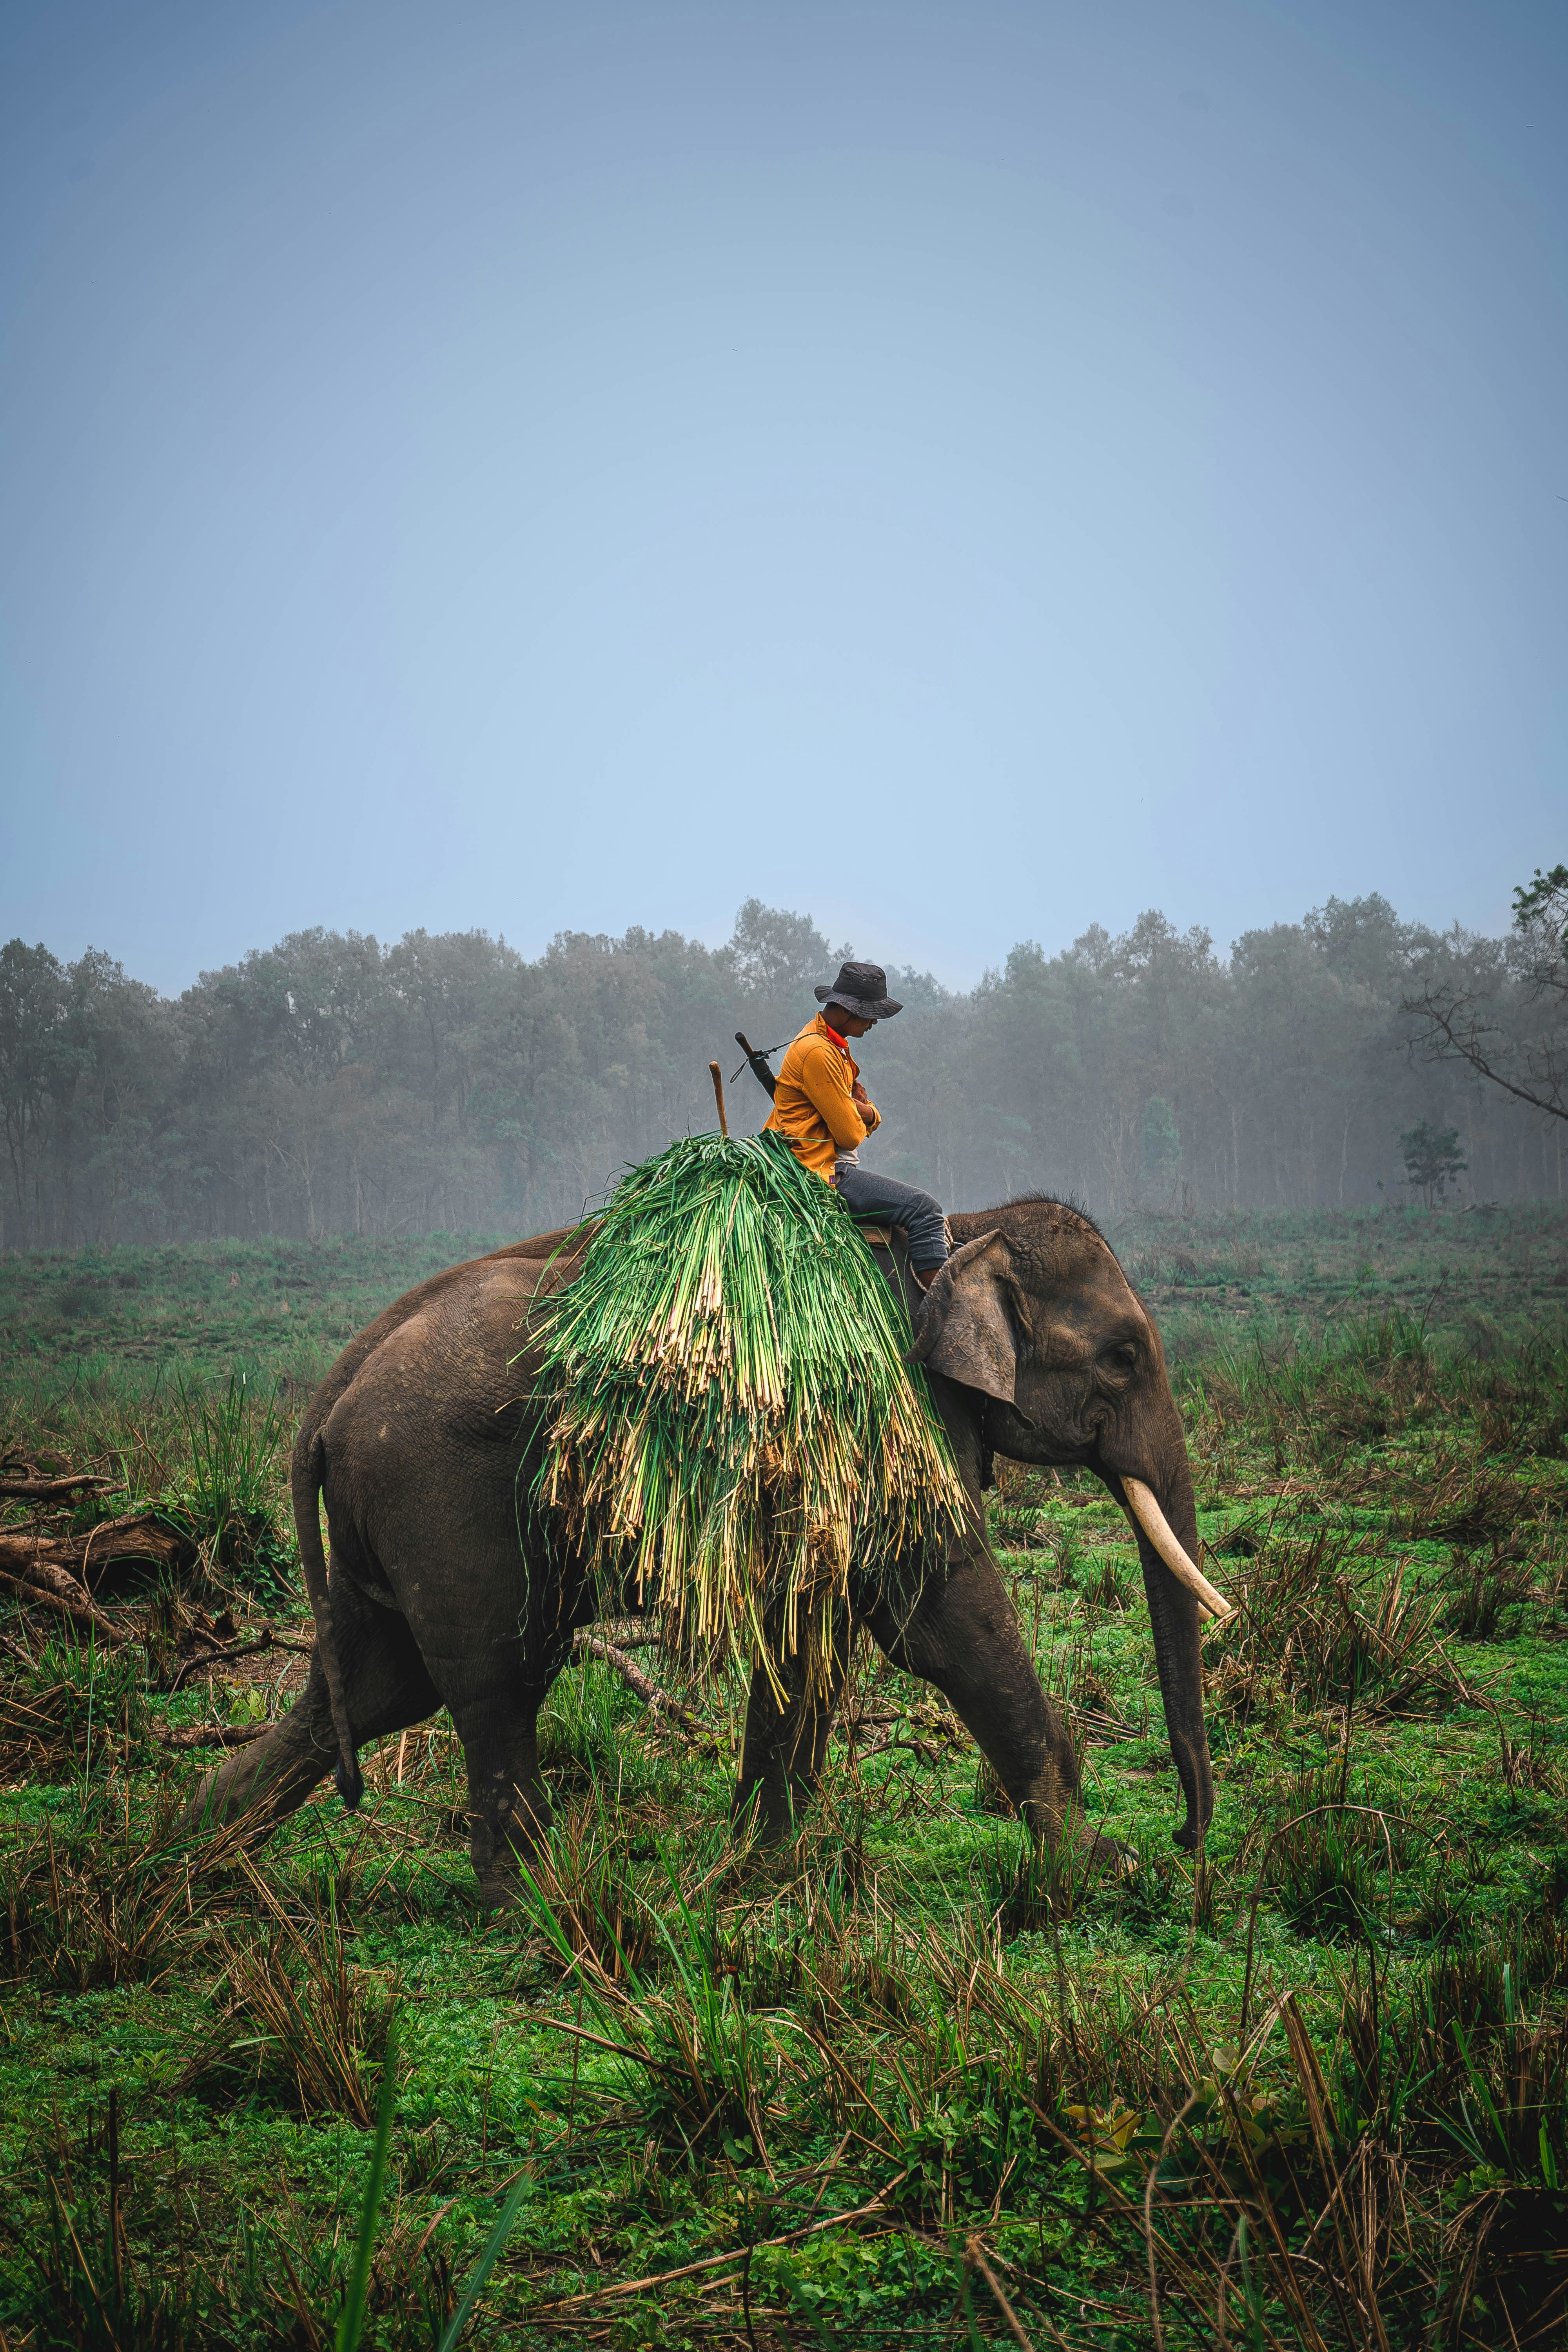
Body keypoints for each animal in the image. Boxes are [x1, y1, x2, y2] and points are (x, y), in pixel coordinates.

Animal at [186, 1197, 1219, 1904]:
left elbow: (811, 1632)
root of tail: (332, 1390)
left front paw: (751, 1874)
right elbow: (939, 1618)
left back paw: (182, 1862)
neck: (965, 1228)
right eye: (1123, 1357)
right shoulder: (884, 1414)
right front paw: (1097, 1871)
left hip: (386, 1522)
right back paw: (542, 1909)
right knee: (495, 1681)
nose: (1181, 1837)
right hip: (441, 1500)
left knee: (373, 1689)